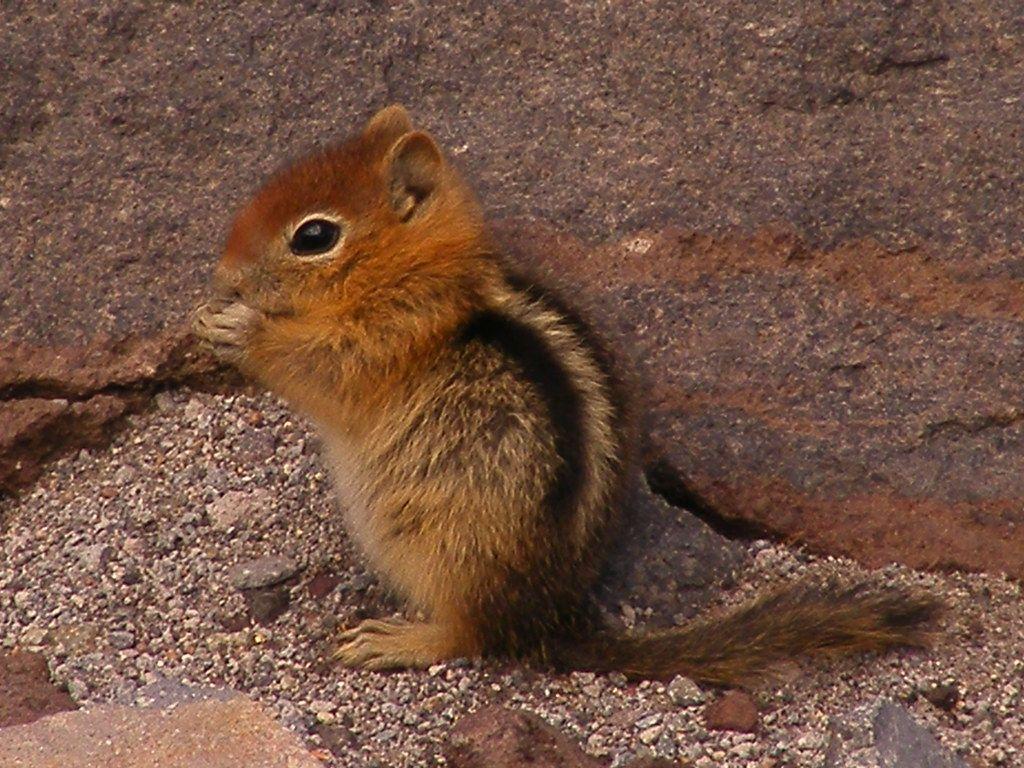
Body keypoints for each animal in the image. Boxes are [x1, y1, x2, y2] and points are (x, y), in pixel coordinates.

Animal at [193, 105, 940, 686]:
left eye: (314, 235)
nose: (223, 274)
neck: (421, 273)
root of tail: (550, 619)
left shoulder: (387, 338)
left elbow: (320, 371)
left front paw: (237, 329)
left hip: (445, 552)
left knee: (473, 636)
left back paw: (398, 639)